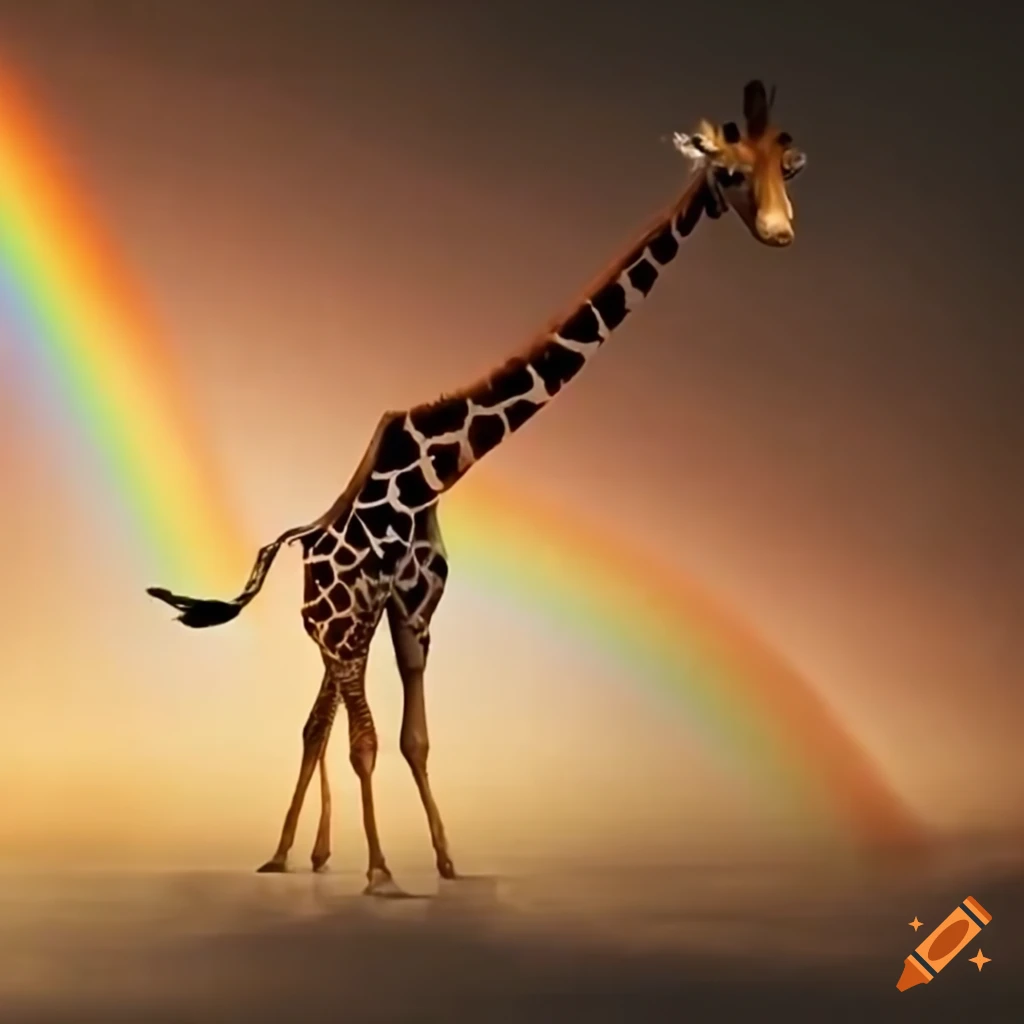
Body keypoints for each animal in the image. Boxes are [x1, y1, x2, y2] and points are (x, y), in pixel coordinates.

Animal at [148, 80, 807, 893]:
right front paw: (382, 874)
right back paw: (300, 854)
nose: (780, 232)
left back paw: (300, 853)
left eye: (789, 167)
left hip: (342, 629)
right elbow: (371, 742)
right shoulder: (373, 614)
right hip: (337, 625)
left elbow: (414, 739)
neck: (428, 474)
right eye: (731, 173)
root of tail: (303, 540)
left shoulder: (417, 613)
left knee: (316, 723)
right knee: (327, 727)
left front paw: (444, 860)